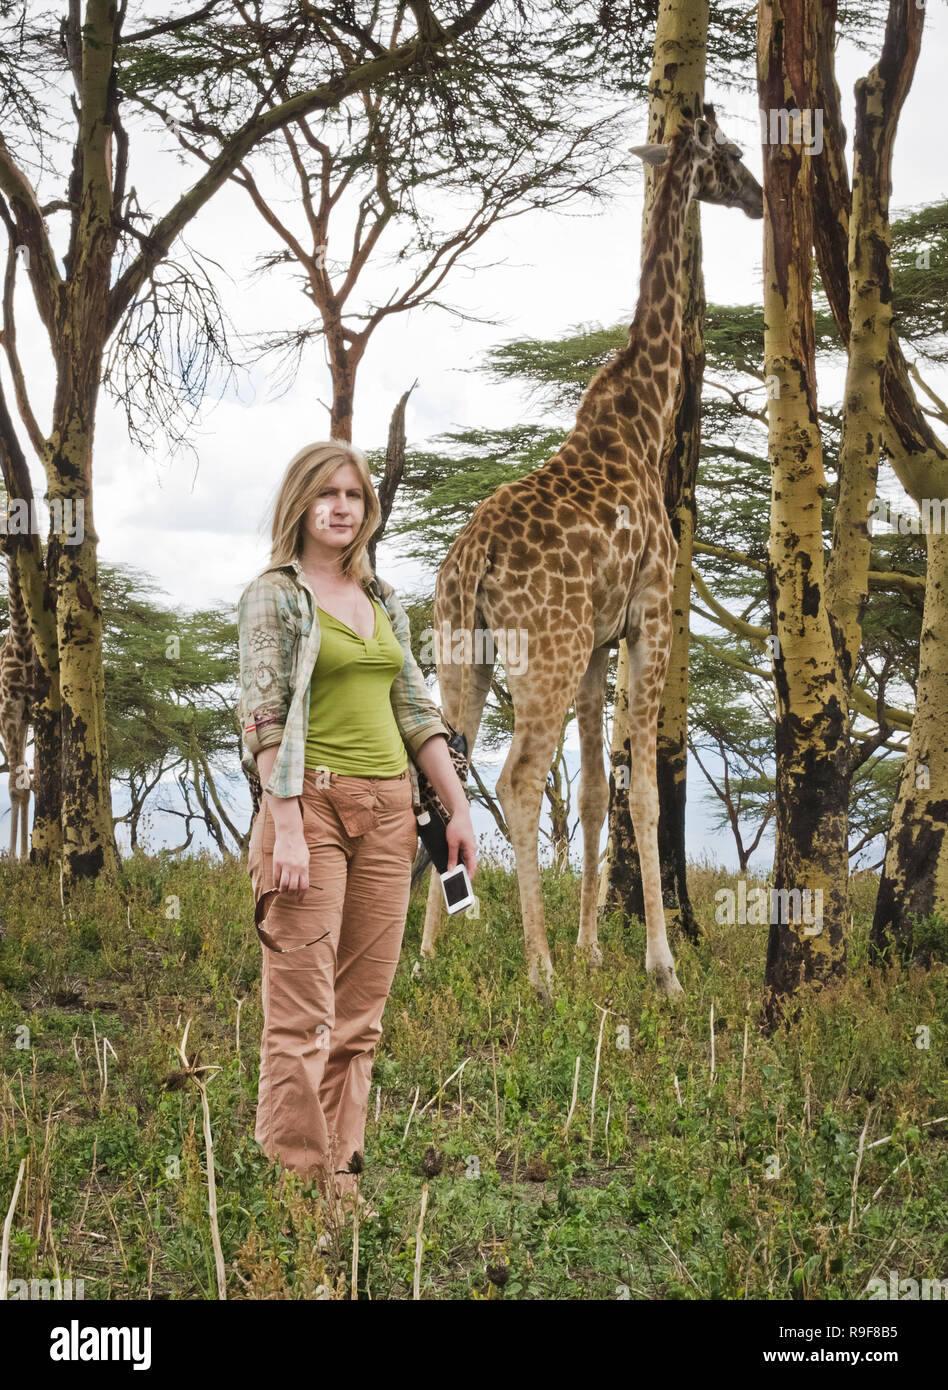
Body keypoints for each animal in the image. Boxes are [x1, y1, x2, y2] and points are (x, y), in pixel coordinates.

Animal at [421, 107, 763, 1000]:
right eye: (731, 154)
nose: (756, 196)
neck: (644, 419)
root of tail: (472, 561)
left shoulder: (597, 644)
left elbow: (596, 792)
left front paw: (592, 949)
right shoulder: (647, 616)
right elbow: (641, 794)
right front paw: (660, 968)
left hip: (462, 653)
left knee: (449, 765)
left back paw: (427, 956)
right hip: (541, 650)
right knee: (516, 780)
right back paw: (536, 974)